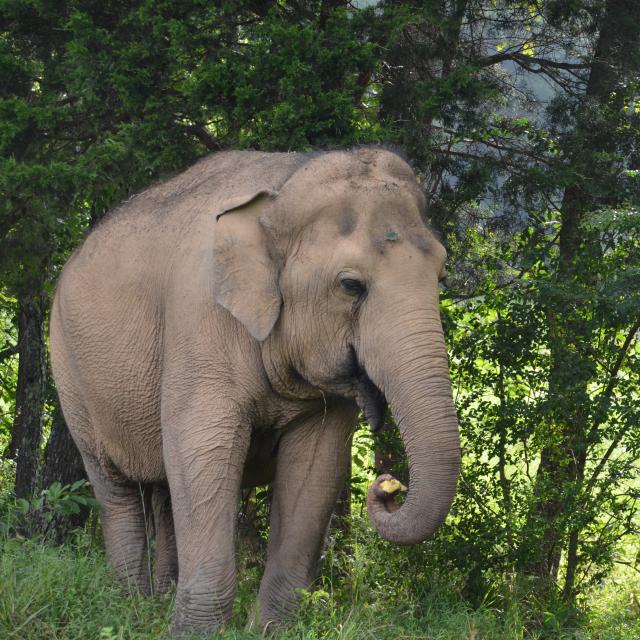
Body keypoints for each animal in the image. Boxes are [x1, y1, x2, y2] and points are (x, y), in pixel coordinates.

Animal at [49, 147, 460, 635]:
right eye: (350, 285)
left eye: (440, 275)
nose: (389, 485)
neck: (280, 192)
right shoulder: (200, 320)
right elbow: (202, 450)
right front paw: (195, 634)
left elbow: (315, 466)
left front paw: (269, 631)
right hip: (70, 371)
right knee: (116, 490)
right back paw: (128, 606)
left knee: (164, 493)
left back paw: (154, 605)